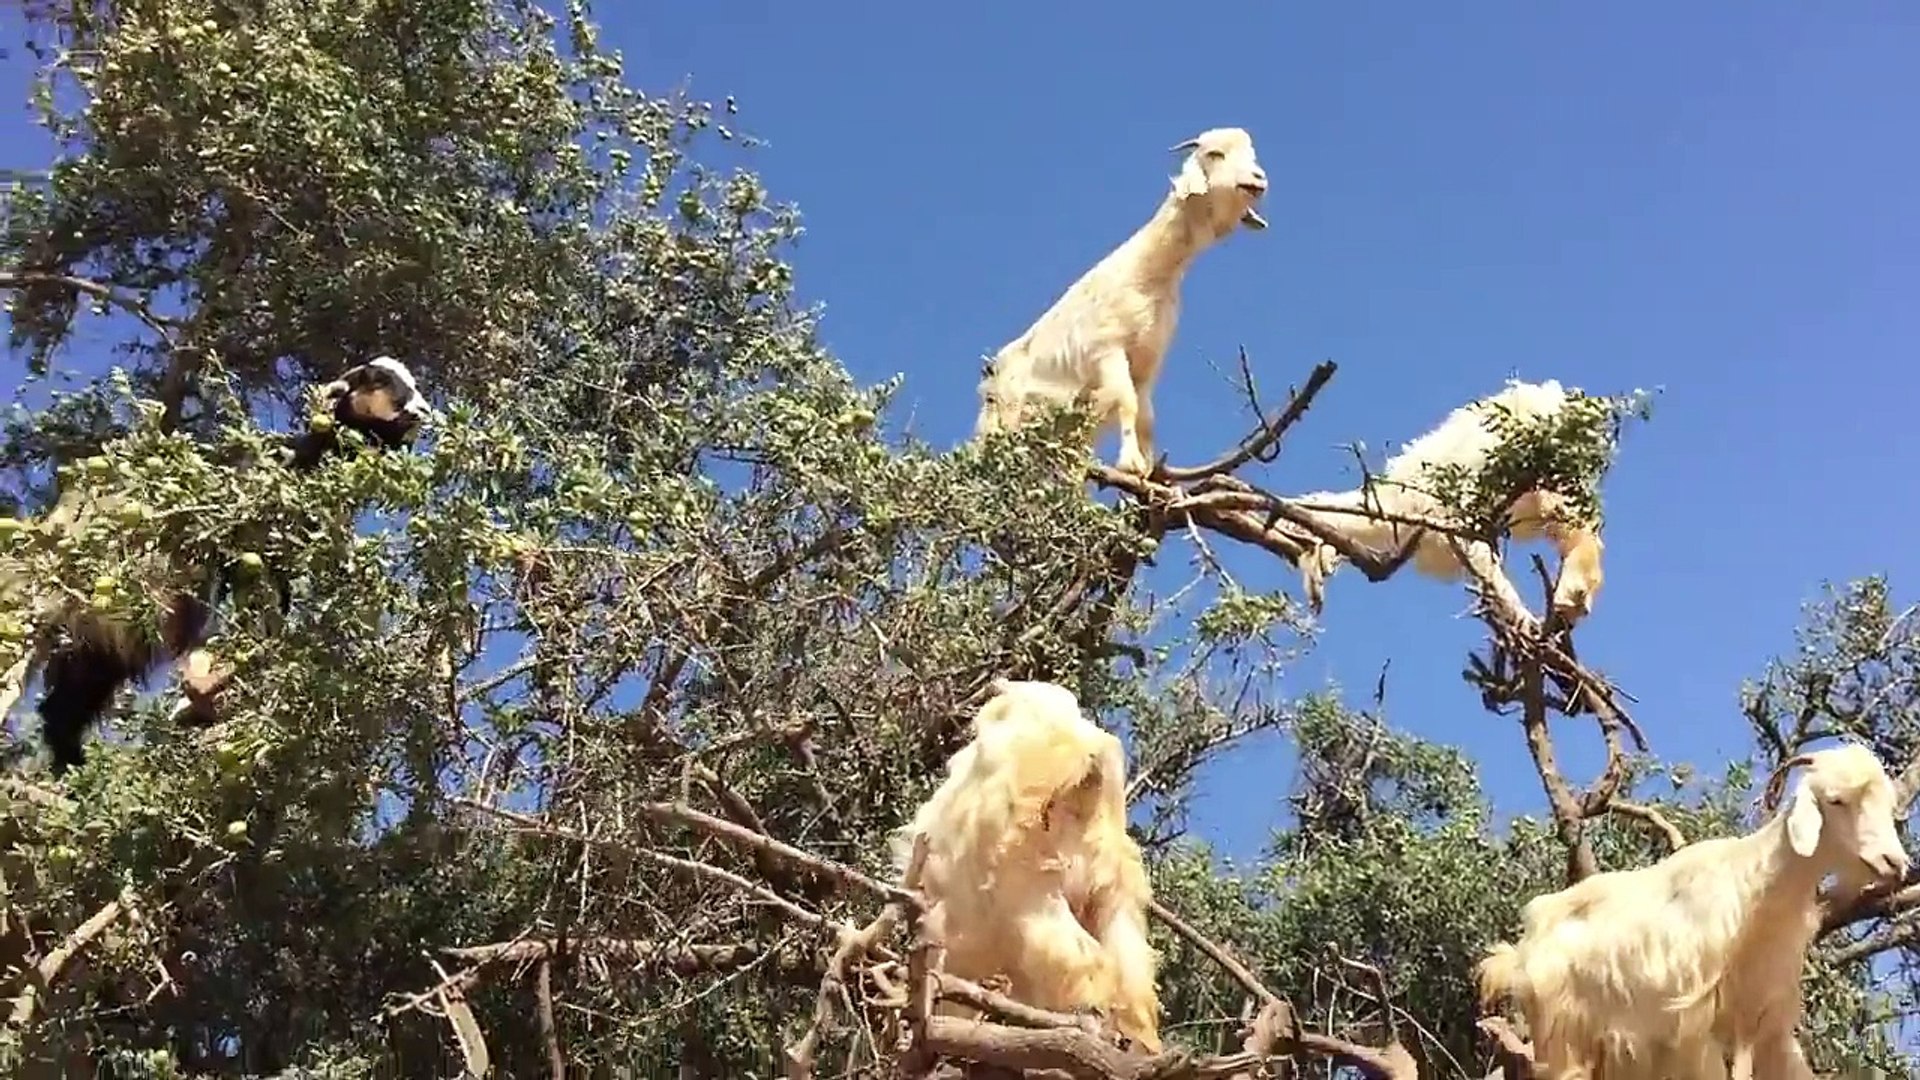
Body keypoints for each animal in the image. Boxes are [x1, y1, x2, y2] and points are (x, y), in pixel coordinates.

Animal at [10, 356, 434, 775]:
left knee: (69, 698)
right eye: (377, 379)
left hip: (101, 635)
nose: (422, 412)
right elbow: (259, 613)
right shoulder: (247, 552)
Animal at [974, 127, 1269, 477]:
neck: (1148, 273)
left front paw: (1150, 470)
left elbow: (1146, 417)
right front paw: (1131, 464)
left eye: (1251, 155)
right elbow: (1126, 402)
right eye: (1214, 154)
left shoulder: (1146, 364)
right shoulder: (1108, 349)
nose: (1259, 179)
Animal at [1475, 743, 1910, 1079]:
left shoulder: (1760, 1022)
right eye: (1836, 800)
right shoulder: (1695, 1025)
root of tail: (1523, 944)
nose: (1895, 862)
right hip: (1563, 1032)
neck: (1755, 891)